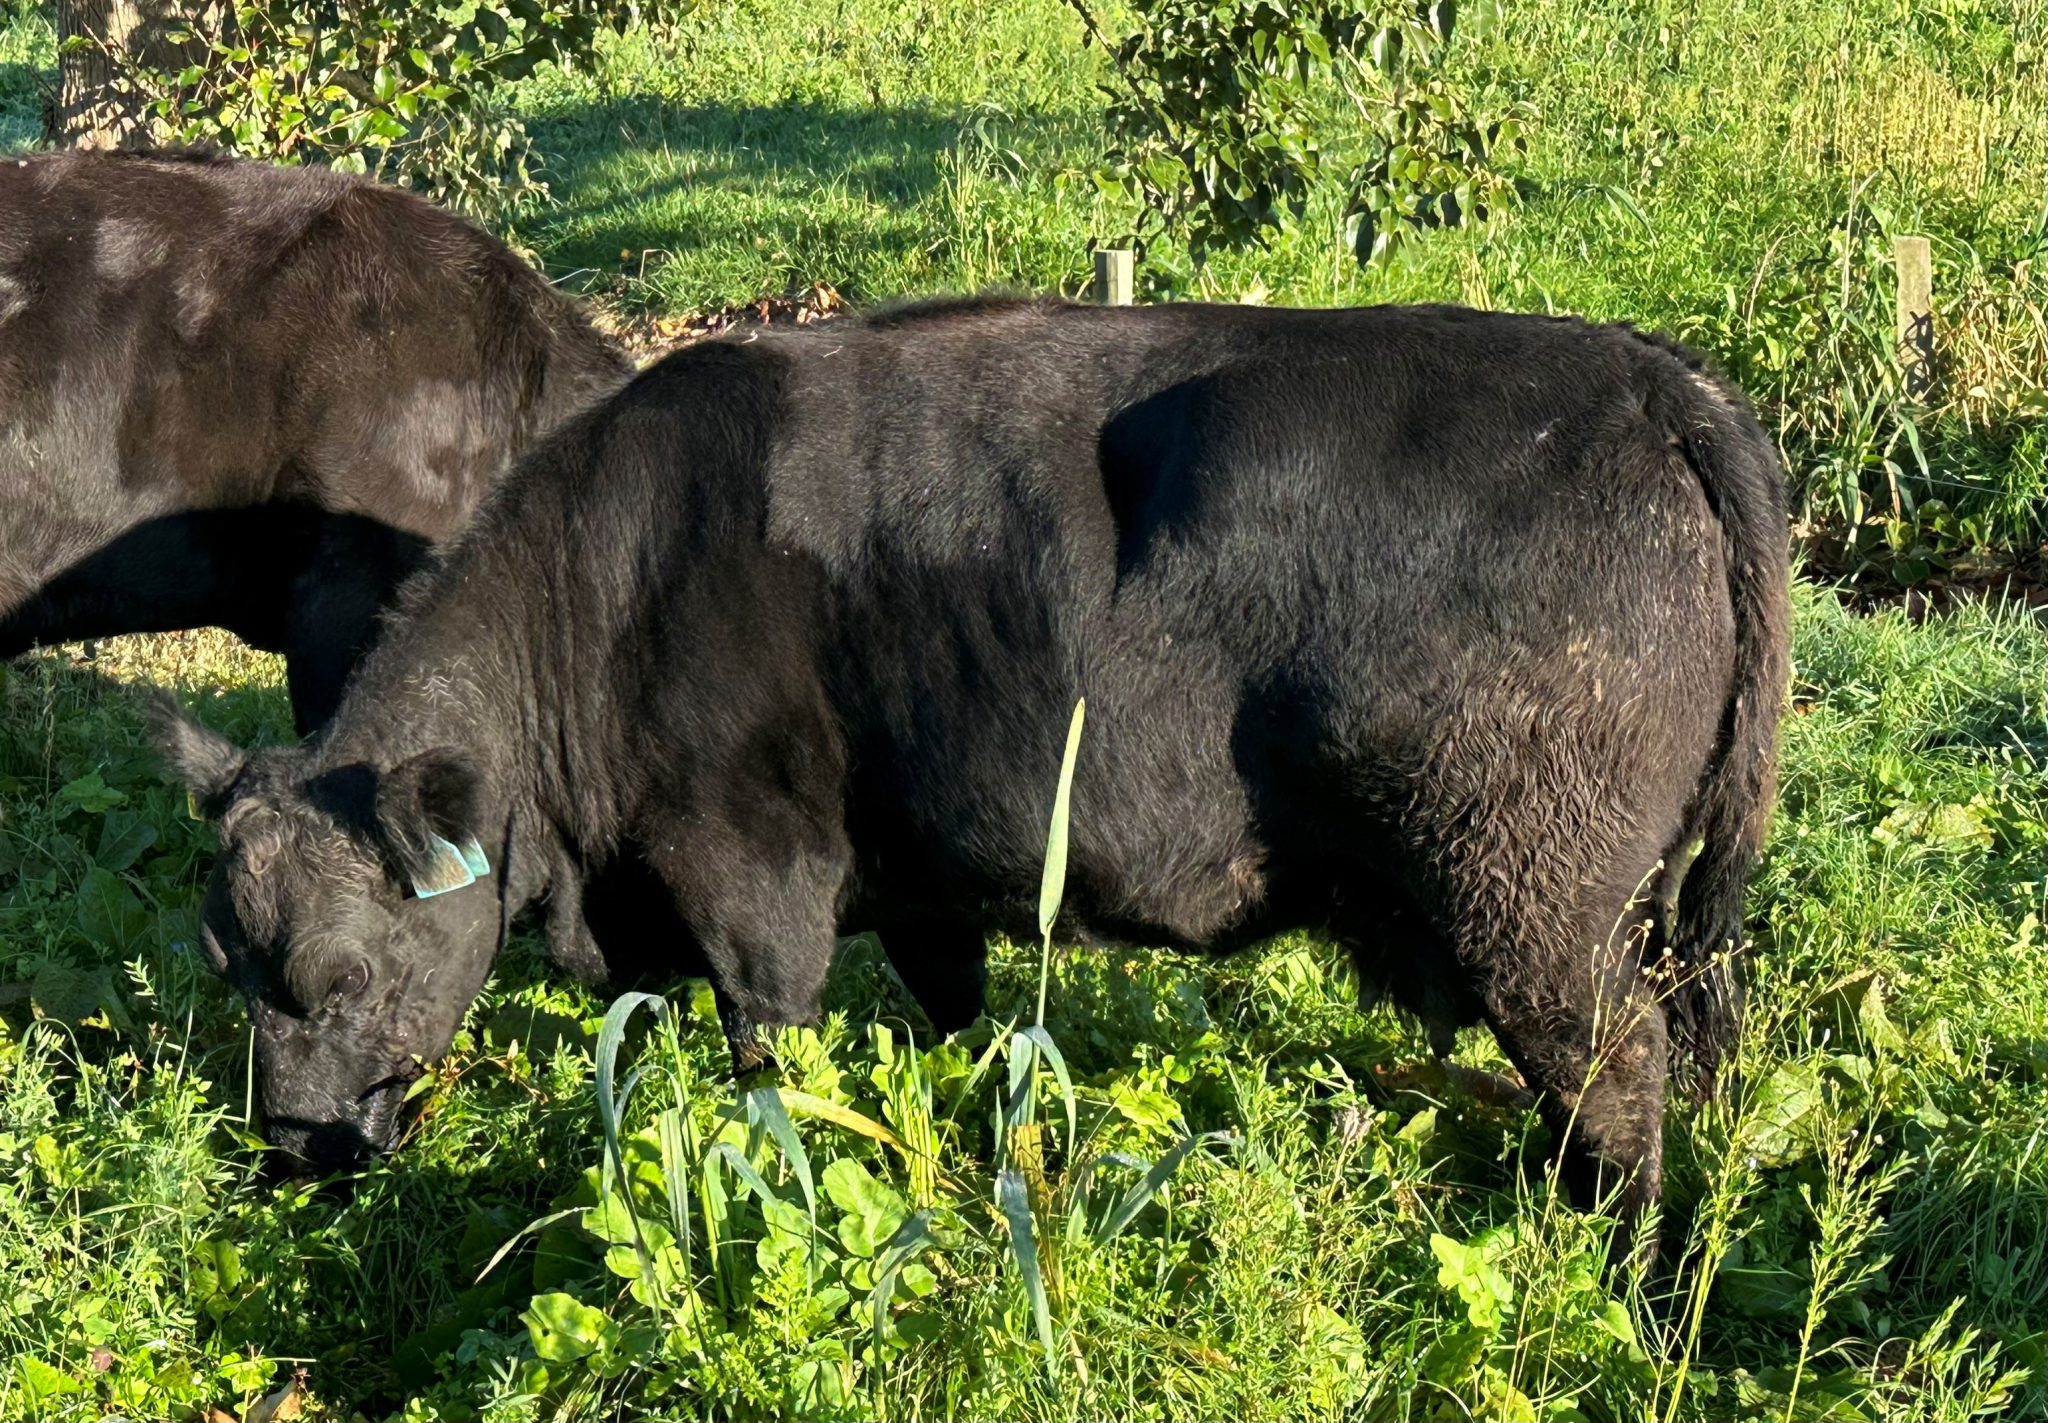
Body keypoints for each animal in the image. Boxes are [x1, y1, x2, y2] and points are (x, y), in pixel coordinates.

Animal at [155, 297, 1789, 1234]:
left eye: (336, 977)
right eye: (225, 962)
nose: (289, 1149)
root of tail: (1652, 386)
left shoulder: (756, 895)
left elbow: (770, 1078)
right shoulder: (926, 889)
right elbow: (945, 1042)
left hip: (1535, 908)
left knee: (1621, 1081)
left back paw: (1607, 1269)